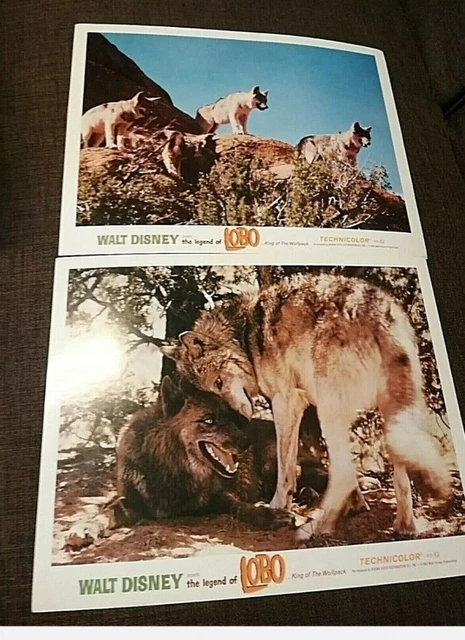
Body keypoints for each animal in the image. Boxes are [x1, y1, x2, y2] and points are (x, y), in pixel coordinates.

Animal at [160, 272, 451, 541]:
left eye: (220, 381)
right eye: (212, 391)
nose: (240, 422)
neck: (246, 336)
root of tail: (377, 312)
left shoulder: (285, 402)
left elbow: (286, 469)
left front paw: (278, 507)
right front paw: (356, 505)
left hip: (330, 411)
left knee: (343, 473)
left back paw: (314, 529)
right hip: (386, 410)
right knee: (394, 471)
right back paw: (404, 527)